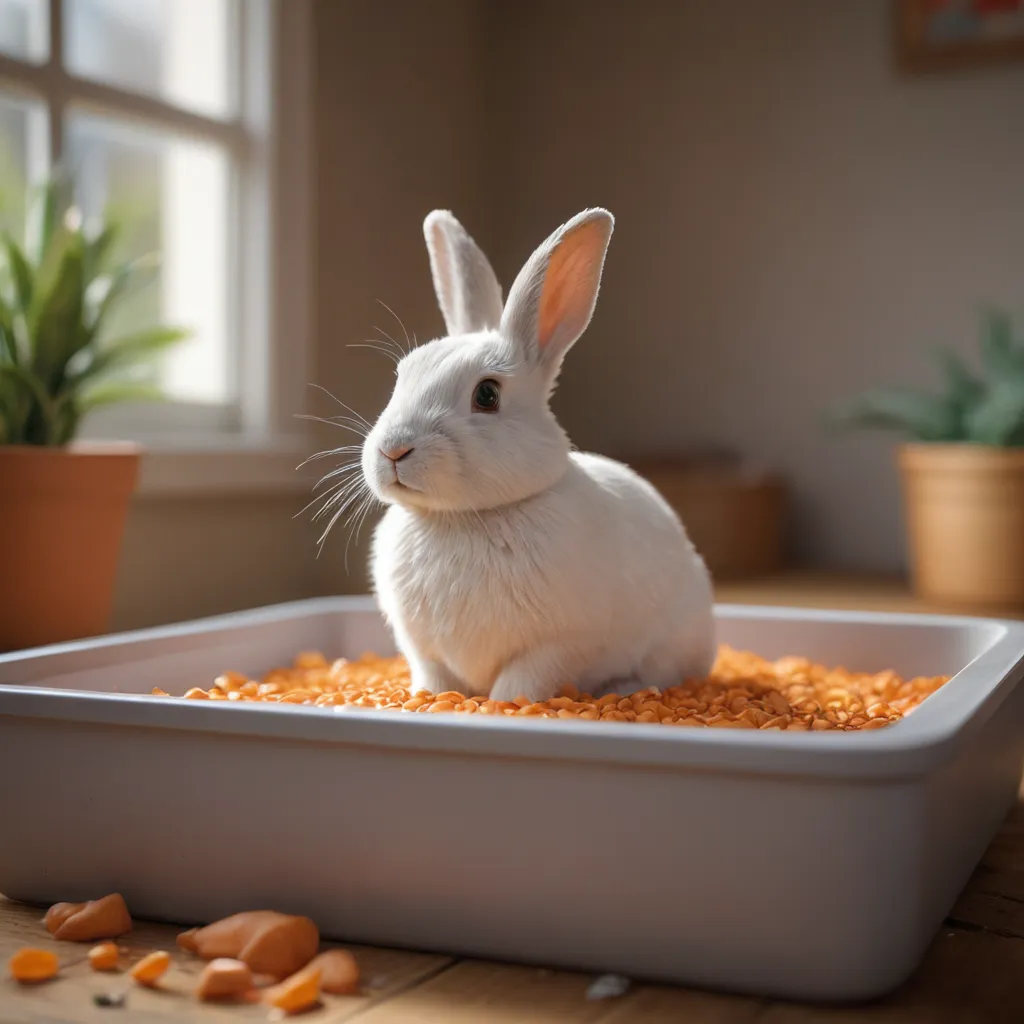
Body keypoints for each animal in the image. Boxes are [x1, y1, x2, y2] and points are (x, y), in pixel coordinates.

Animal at [360, 207, 715, 703]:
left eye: (487, 395)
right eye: (401, 376)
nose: (393, 448)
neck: (463, 518)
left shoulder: (557, 645)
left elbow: (522, 682)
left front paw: (504, 706)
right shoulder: (423, 650)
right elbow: (434, 680)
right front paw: (428, 700)